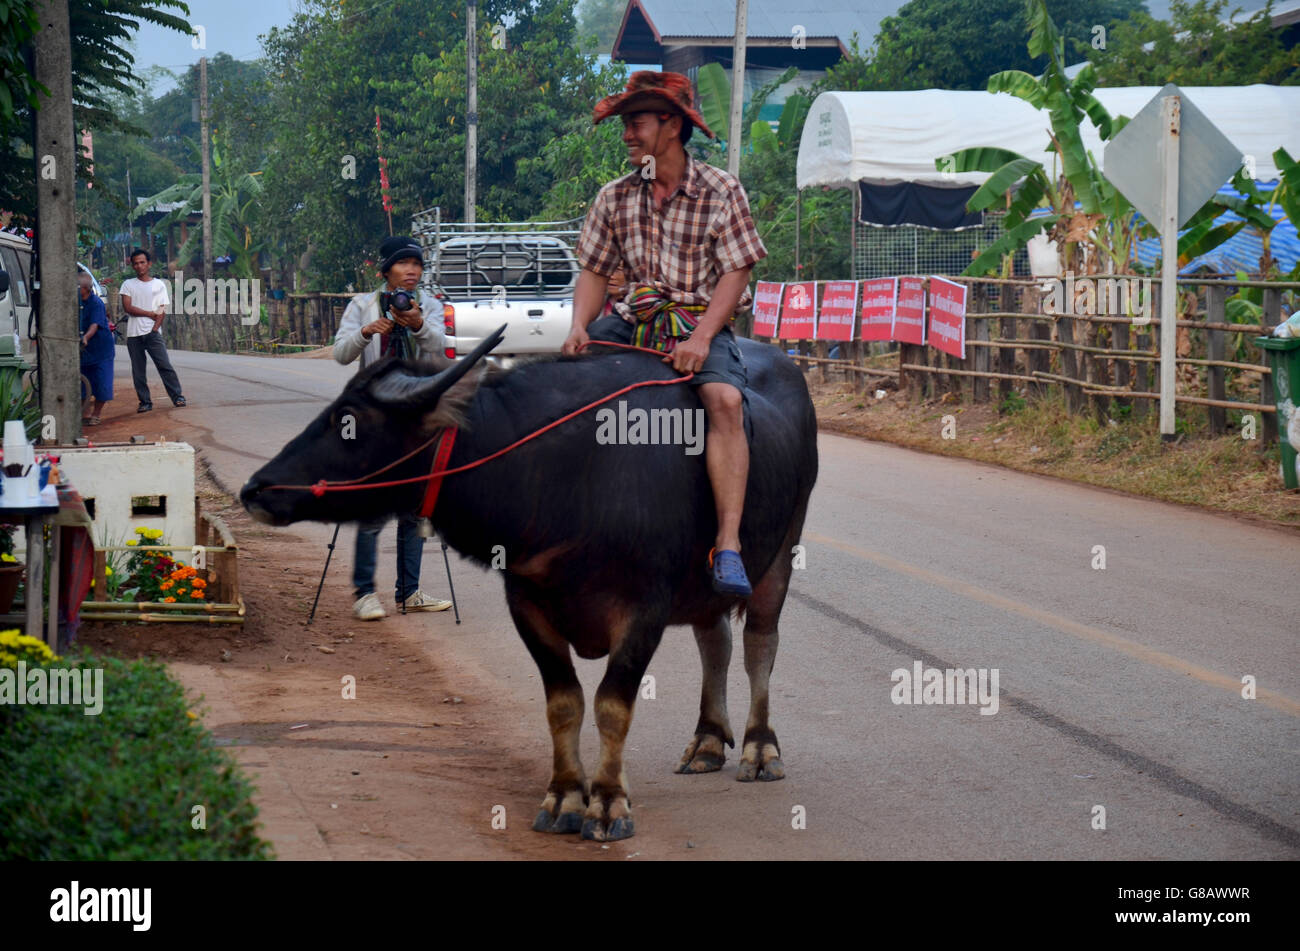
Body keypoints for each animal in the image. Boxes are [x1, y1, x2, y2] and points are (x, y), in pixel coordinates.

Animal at [241, 327, 818, 841]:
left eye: (348, 421)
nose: (255, 489)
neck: (564, 473)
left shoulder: (644, 609)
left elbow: (612, 704)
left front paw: (608, 803)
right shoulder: (526, 603)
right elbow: (564, 703)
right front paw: (564, 796)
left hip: (779, 552)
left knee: (758, 644)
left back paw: (759, 748)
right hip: (705, 584)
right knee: (714, 640)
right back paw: (707, 742)